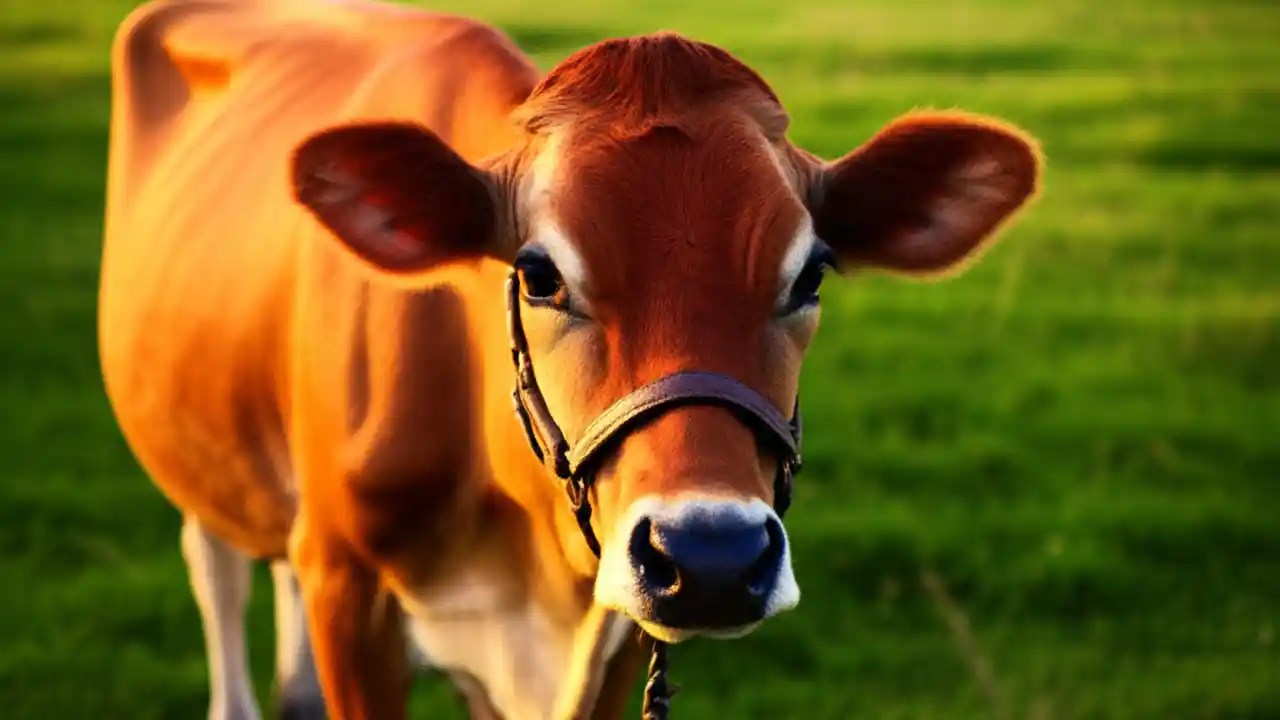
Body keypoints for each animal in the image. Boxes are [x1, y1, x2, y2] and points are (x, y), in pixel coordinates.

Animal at [99, 0, 1040, 718]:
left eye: (809, 273)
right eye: (539, 273)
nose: (713, 556)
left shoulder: (615, 626)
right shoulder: (346, 587)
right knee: (217, 575)